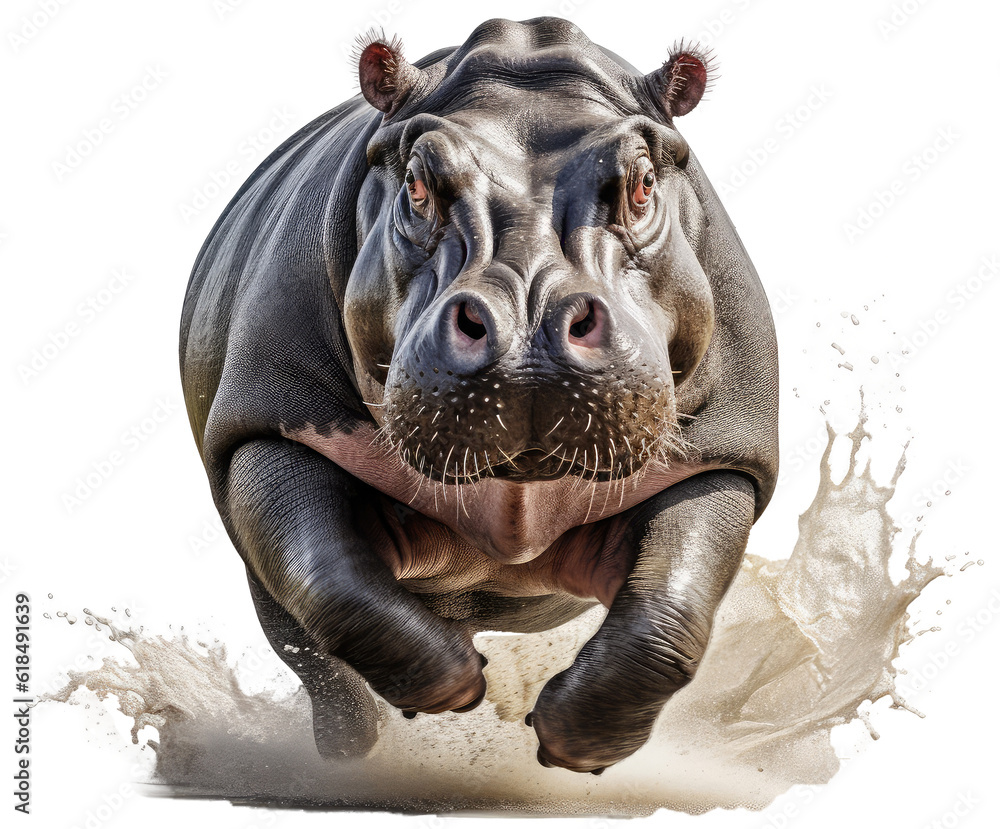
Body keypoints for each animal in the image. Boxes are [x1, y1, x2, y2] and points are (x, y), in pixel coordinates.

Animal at [179, 17, 778, 775]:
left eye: (644, 182)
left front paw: (569, 746)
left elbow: (667, 615)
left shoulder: (723, 454)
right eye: (415, 182)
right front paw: (460, 688)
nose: (528, 332)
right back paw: (350, 758)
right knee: (307, 646)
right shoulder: (266, 427)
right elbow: (329, 579)